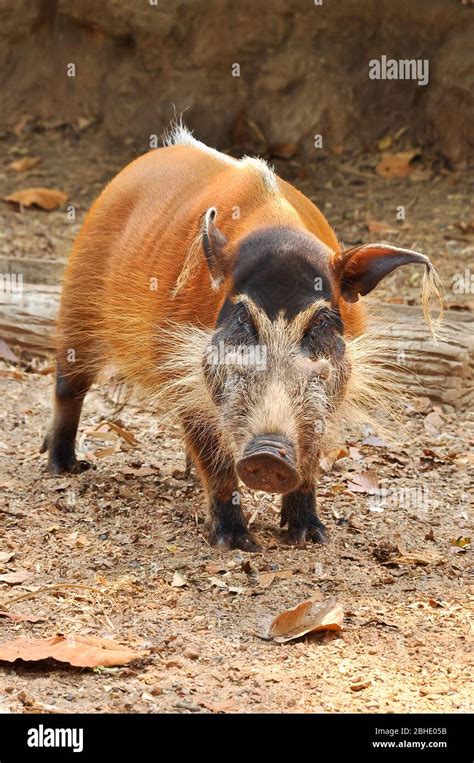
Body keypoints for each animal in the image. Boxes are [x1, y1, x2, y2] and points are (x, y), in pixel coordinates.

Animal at [41, 122, 443, 551]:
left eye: (319, 322)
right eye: (243, 318)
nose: (267, 455)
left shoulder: (329, 394)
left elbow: (310, 457)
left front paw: (311, 536)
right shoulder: (189, 379)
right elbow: (216, 462)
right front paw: (236, 543)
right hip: (77, 299)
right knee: (69, 386)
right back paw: (65, 466)